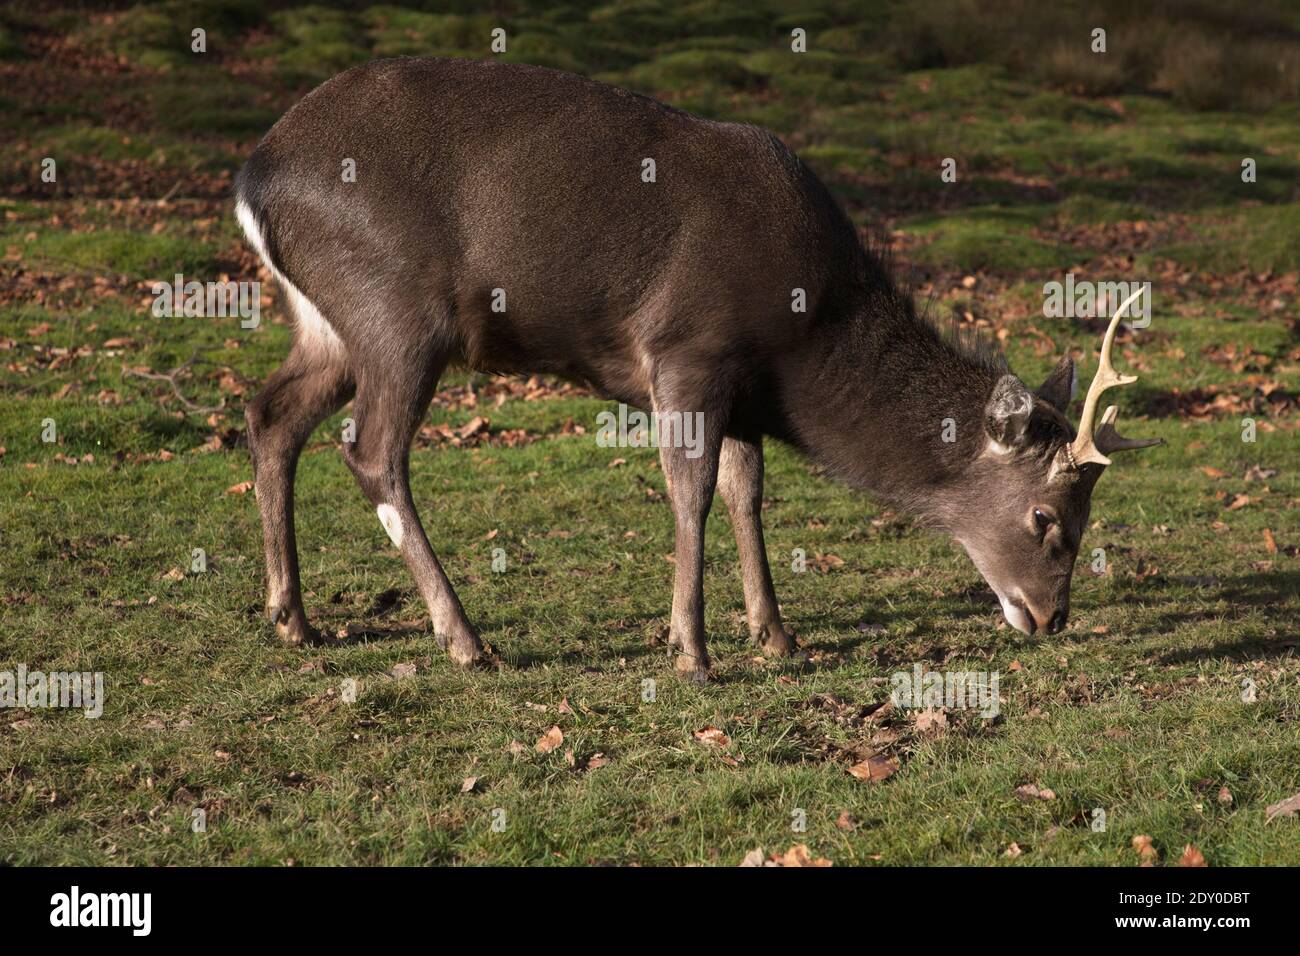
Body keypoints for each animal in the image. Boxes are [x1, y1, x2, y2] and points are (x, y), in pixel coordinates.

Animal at [235, 57, 1160, 683]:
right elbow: (692, 488)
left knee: (270, 412)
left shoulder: (746, 388)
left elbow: (748, 493)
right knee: (371, 451)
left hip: (328, 324)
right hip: (396, 308)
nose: (1051, 616)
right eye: (1046, 516)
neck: (807, 334)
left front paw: (777, 635)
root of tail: (253, 180)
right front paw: (692, 649)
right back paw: (464, 638)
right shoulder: (687, 348)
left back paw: (292, 619)